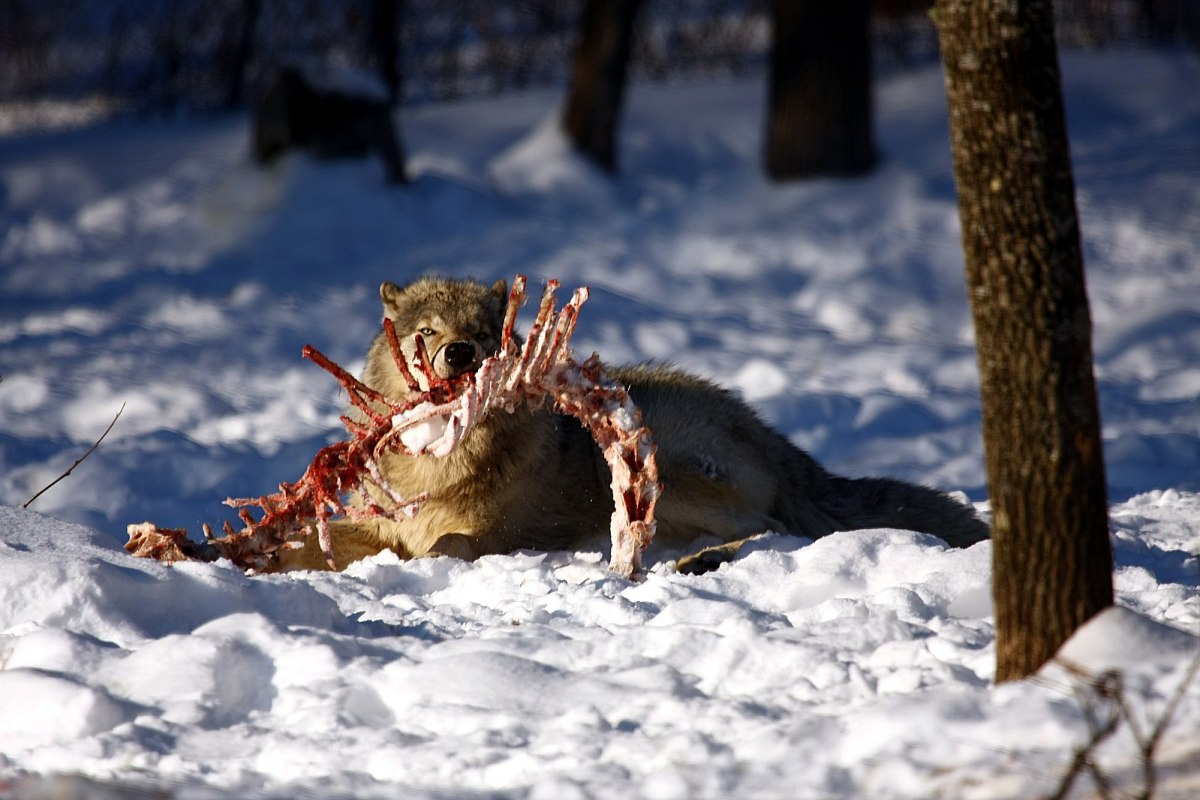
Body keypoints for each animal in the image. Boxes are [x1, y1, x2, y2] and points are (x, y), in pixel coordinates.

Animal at [271, 276, 988, 573]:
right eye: (428, 332)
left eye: (481, 333)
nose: (461, 353)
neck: (437, 459)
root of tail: (769, 432)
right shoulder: (374, 526)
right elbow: (308, 543)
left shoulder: (498, 534)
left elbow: (445, 546)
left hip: (658, 465)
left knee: (774, 530)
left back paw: (702, 561)